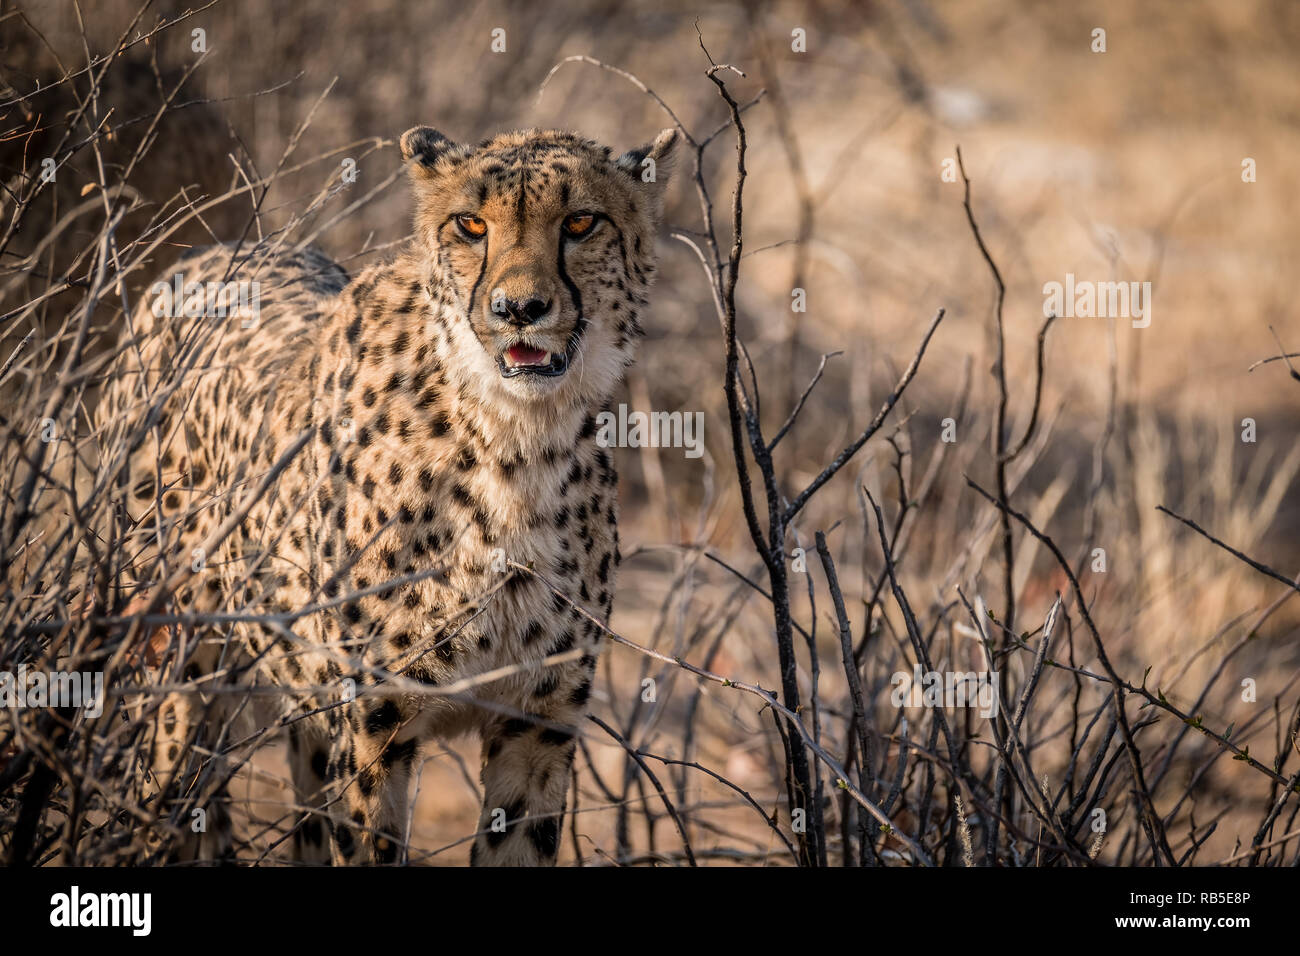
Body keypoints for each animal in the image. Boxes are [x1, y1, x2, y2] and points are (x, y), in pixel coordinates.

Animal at [94, 124, 679, 865]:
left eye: (580, 223)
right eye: (470, 225)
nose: (519, 309)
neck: (517, 443)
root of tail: (204, 256)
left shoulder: (538, 722)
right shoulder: (374, 720)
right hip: (177, 668)